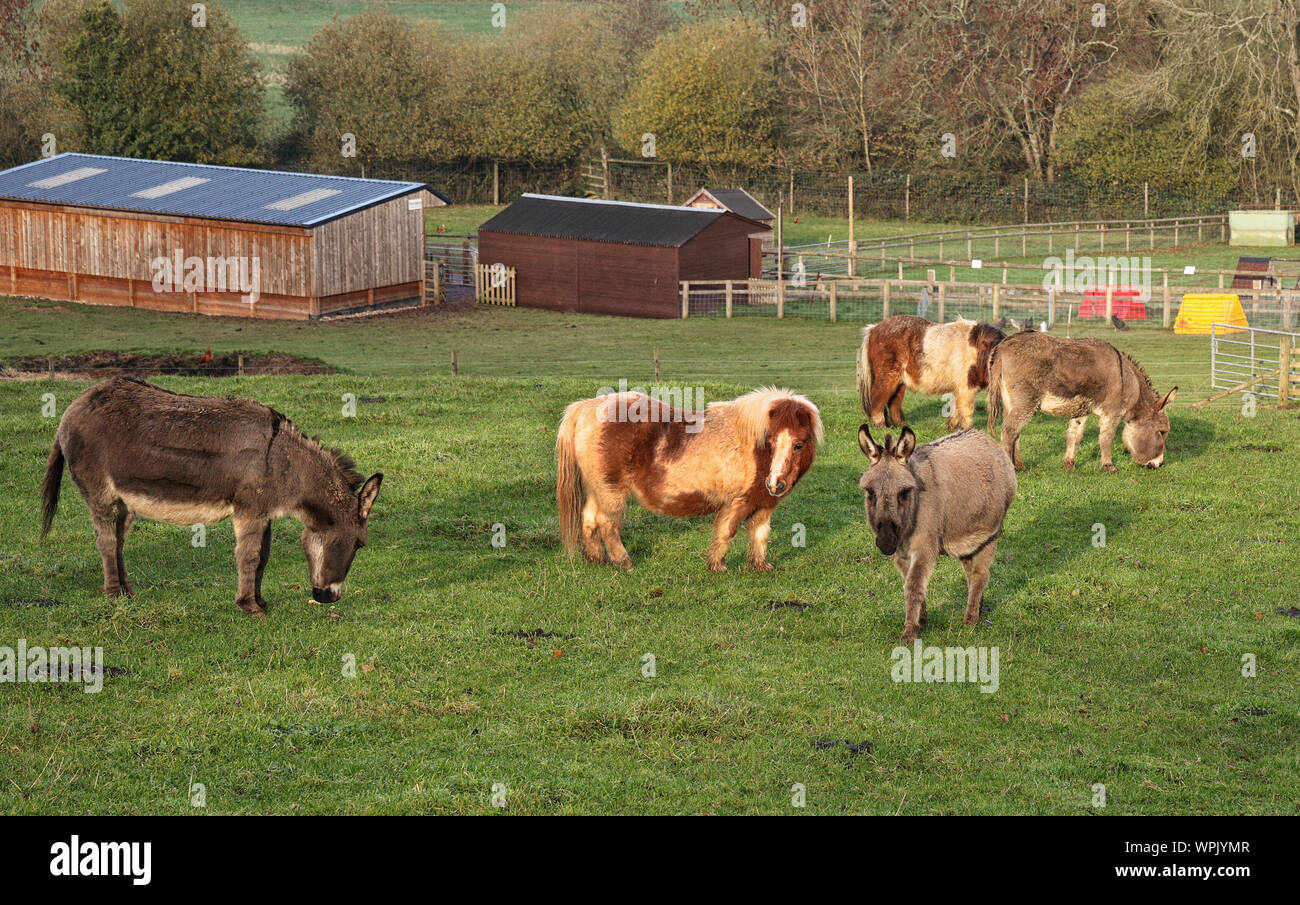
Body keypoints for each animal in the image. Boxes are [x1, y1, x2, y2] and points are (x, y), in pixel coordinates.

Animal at [41, 378, 382, 615]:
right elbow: (249, 556)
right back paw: (113, 594)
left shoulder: (264, 513)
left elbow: (263, 558)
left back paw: (128, 591)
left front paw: (260, 600)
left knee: (118, 540)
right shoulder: (249, 510)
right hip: (100, 492)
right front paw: (249, 607)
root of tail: (72, 408)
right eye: (359, 544)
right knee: (106, 540)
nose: (329, 598)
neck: (286, 461)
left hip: (126, 501)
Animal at [555, 387, 823, 572]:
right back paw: (625, 563)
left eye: (799, 444)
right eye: (771, 442)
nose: (775, 484)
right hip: (610, 490)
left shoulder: (764, 504)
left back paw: (596, 560)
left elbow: (760, 533)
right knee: (607, 523)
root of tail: (585, 408)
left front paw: (760, 566)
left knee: (589, 519)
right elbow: (727, 530)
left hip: (597, 488)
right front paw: (718, 566)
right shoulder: (739, 501)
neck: (754, 448)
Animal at [856, 315, 1004, 431]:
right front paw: (968, 429)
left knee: (894, 403)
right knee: (877, 399)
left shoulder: (959, 388)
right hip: (887, 377)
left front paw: (951, 427)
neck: (977, 350)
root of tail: (873, 329)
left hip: (900, 382)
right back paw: (880, 426)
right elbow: (966, 409)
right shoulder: (966, 387)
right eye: (994, 353)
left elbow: (956, 407)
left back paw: (902, 425)